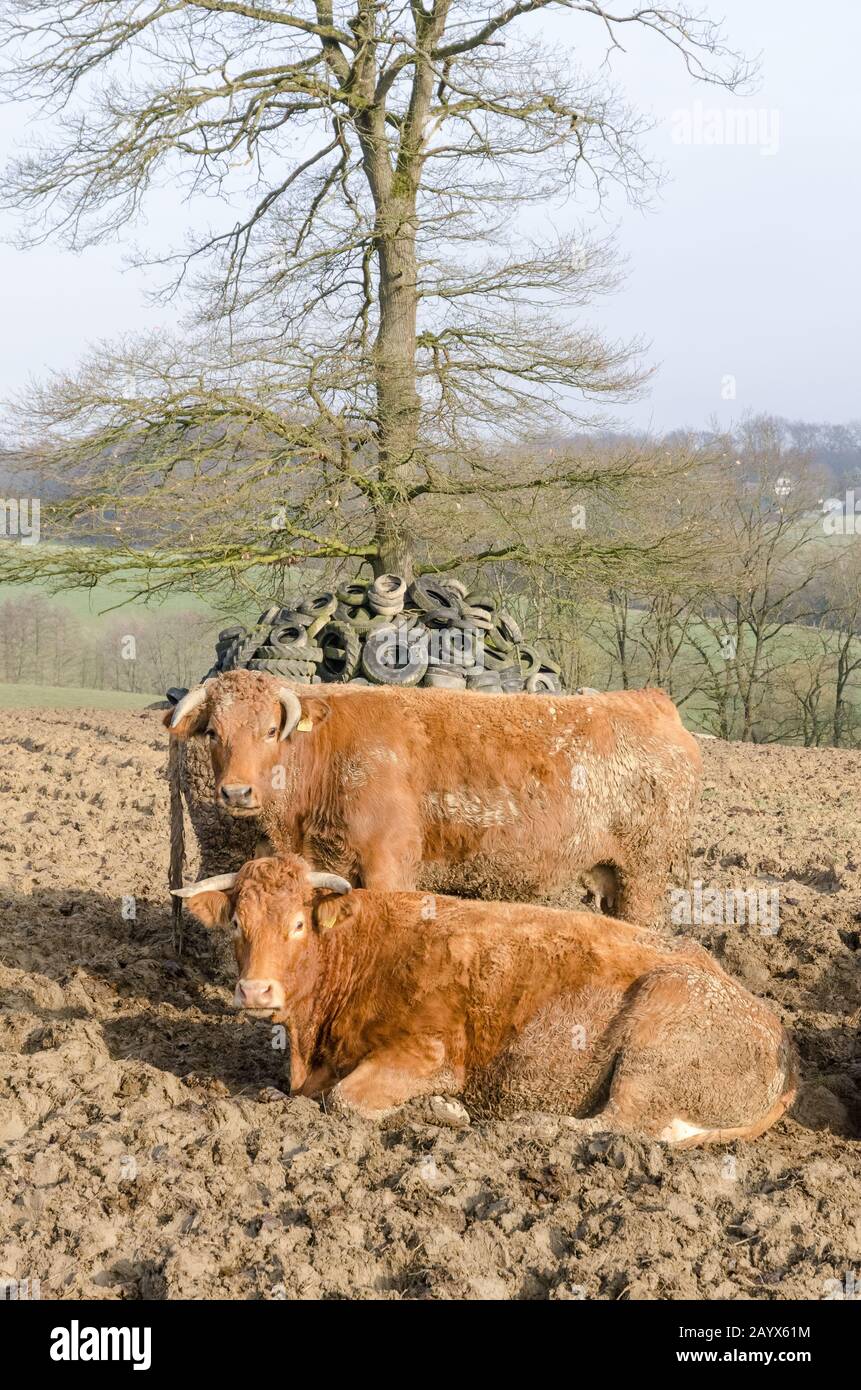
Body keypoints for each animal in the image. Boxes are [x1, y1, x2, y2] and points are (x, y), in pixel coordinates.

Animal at [165, 669, 702, 928]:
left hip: (646, 874)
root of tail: (648, 699)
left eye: (271, 730)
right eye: (213, 732)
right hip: (612, 874)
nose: (236, 791)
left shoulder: (389, 865)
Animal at [173, 854, 797, 1145]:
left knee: (619, 1125)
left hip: (653, 1042)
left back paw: (527, 1125)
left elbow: (344, 1101)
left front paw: (441, 1111)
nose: (255, 990)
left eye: (299, 924)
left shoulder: (426, 1054)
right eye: (237, 924)